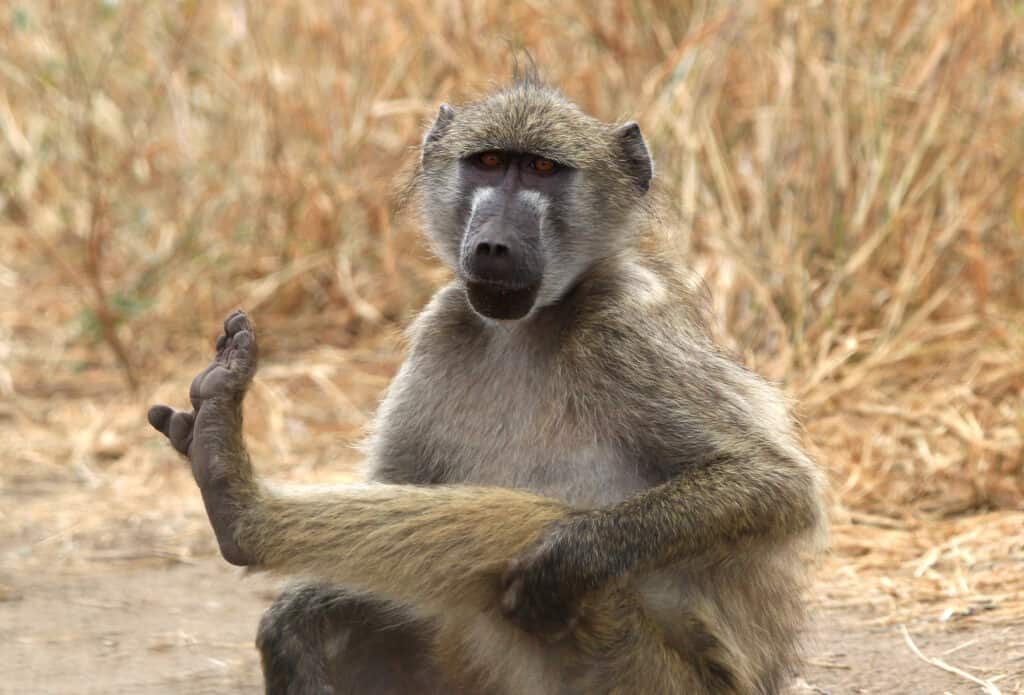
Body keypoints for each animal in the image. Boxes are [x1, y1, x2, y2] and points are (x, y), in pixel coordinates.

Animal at [148, 70, 828, 695]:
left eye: (543, 170)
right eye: (490, 163)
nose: (495, 245)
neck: (527, 325)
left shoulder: (626, 328)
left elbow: (773, 485)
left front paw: (569, 561)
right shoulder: (443, 326)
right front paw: (298, 603)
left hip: (649, 676)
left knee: (522, 529)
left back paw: (238, 504)